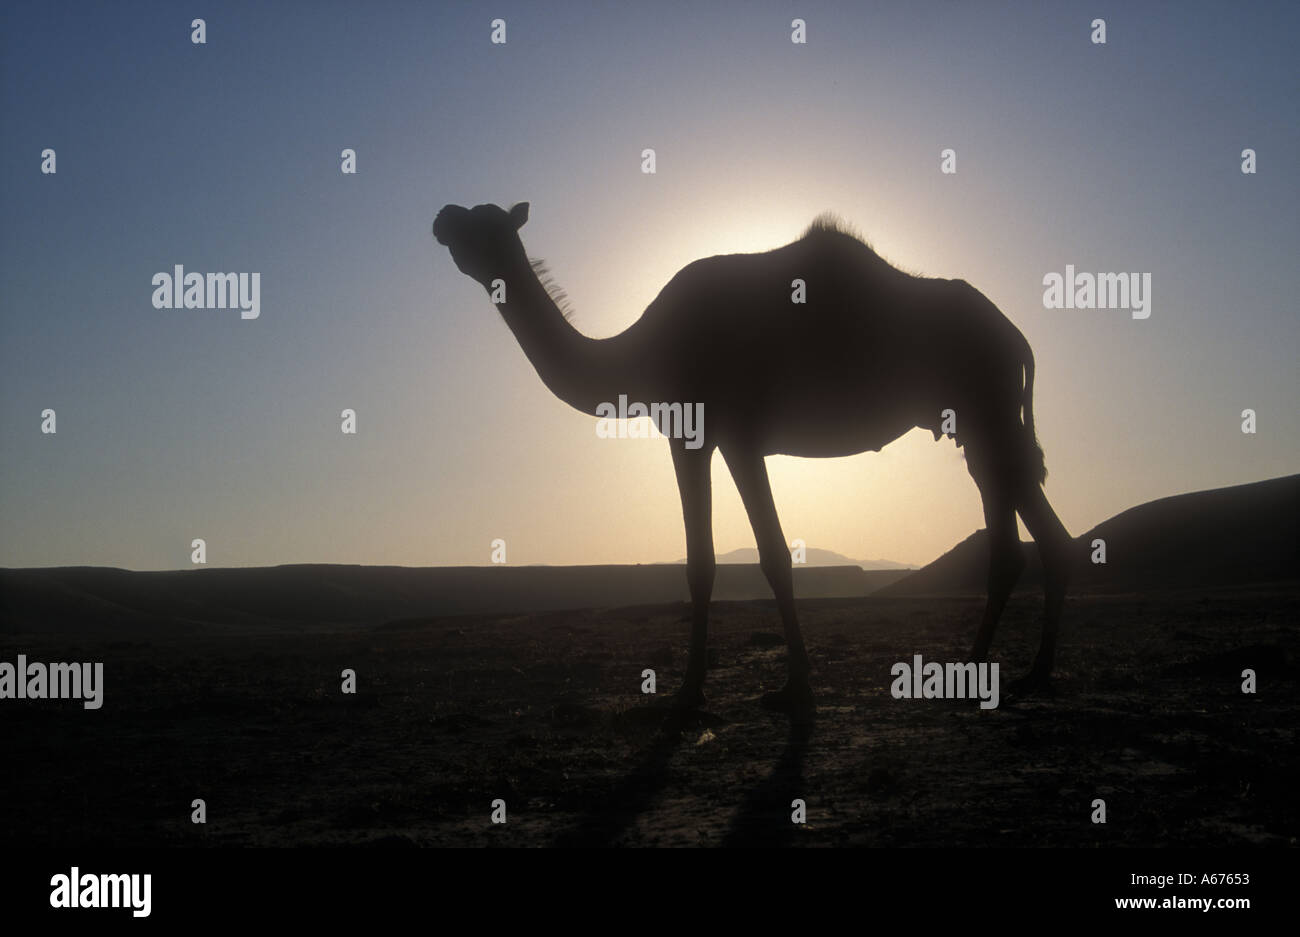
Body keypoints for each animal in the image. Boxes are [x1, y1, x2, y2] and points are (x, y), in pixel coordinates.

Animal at [433, 201, 1073, 712]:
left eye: (486, 224)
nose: (442, 217)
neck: (645, 350)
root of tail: (1018, 338)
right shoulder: (701, 435)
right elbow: (715, 560)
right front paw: (734, 684)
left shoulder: (724, 433)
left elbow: (754, 557)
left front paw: (726, 690)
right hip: (979, 423)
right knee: (1029, 532)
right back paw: (1013, 671)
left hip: (986, 408)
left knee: (1019, 530)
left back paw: (996, 669)